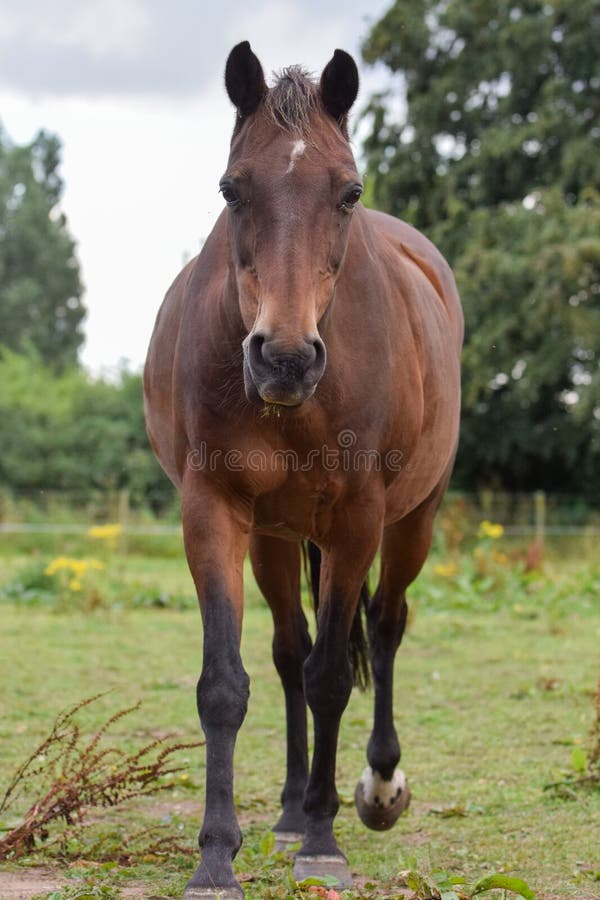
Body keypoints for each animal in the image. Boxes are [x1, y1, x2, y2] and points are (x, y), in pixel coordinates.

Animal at [144, 41, 463, 899]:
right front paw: (218, 854)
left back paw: (375, 788)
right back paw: (290, 809)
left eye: (348, 191)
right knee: (291, 652)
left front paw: (325, 839)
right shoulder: (214, 512)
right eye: (232, 188)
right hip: (277, 538)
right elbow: (228, 684)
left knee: (382, 629)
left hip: (411, 522)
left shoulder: (356, 522)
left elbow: (332, 679)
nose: (284, 358)